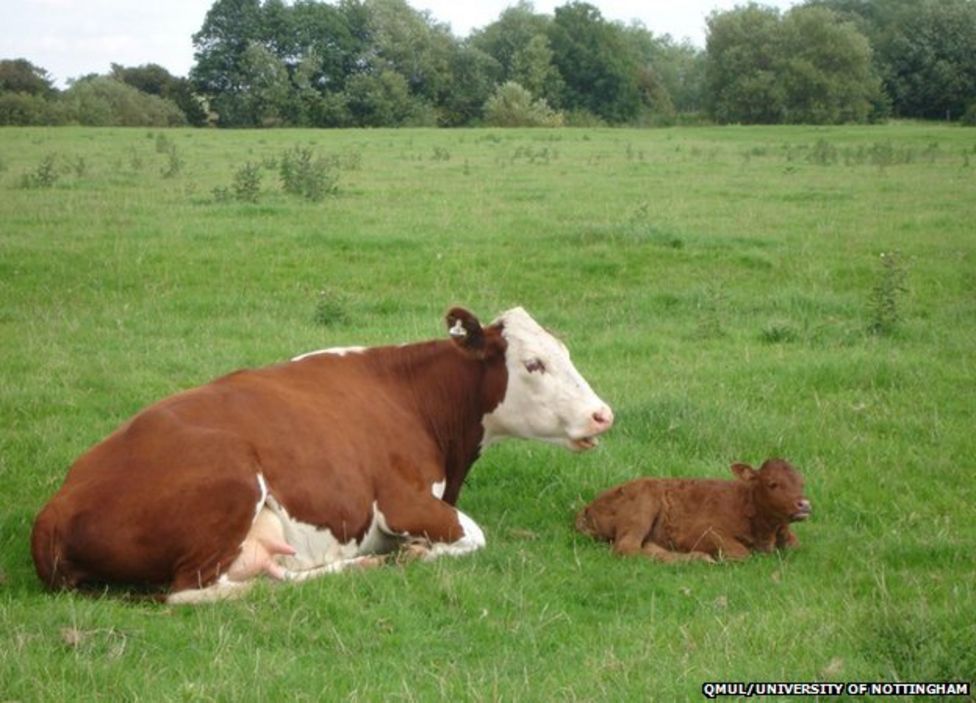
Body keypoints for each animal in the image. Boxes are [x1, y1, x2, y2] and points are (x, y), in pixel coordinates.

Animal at [31, 306, 614, 603]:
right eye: (534, 364)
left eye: (565, 352)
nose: (602, 414)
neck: (415, 396)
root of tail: (55, 509)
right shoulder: (402, 501)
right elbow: (474, 536)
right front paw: (415, 552)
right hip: (232, 481)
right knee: (203, 591)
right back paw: (368, 564)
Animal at [575, 458, 810, 562]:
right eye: (772, 483)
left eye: (802, 482)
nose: (804, 504)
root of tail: (588, 507)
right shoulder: (698, 532)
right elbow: (739, 552)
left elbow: (796, 544)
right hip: (642, 506)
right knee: (627, 547)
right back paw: (697, 558)